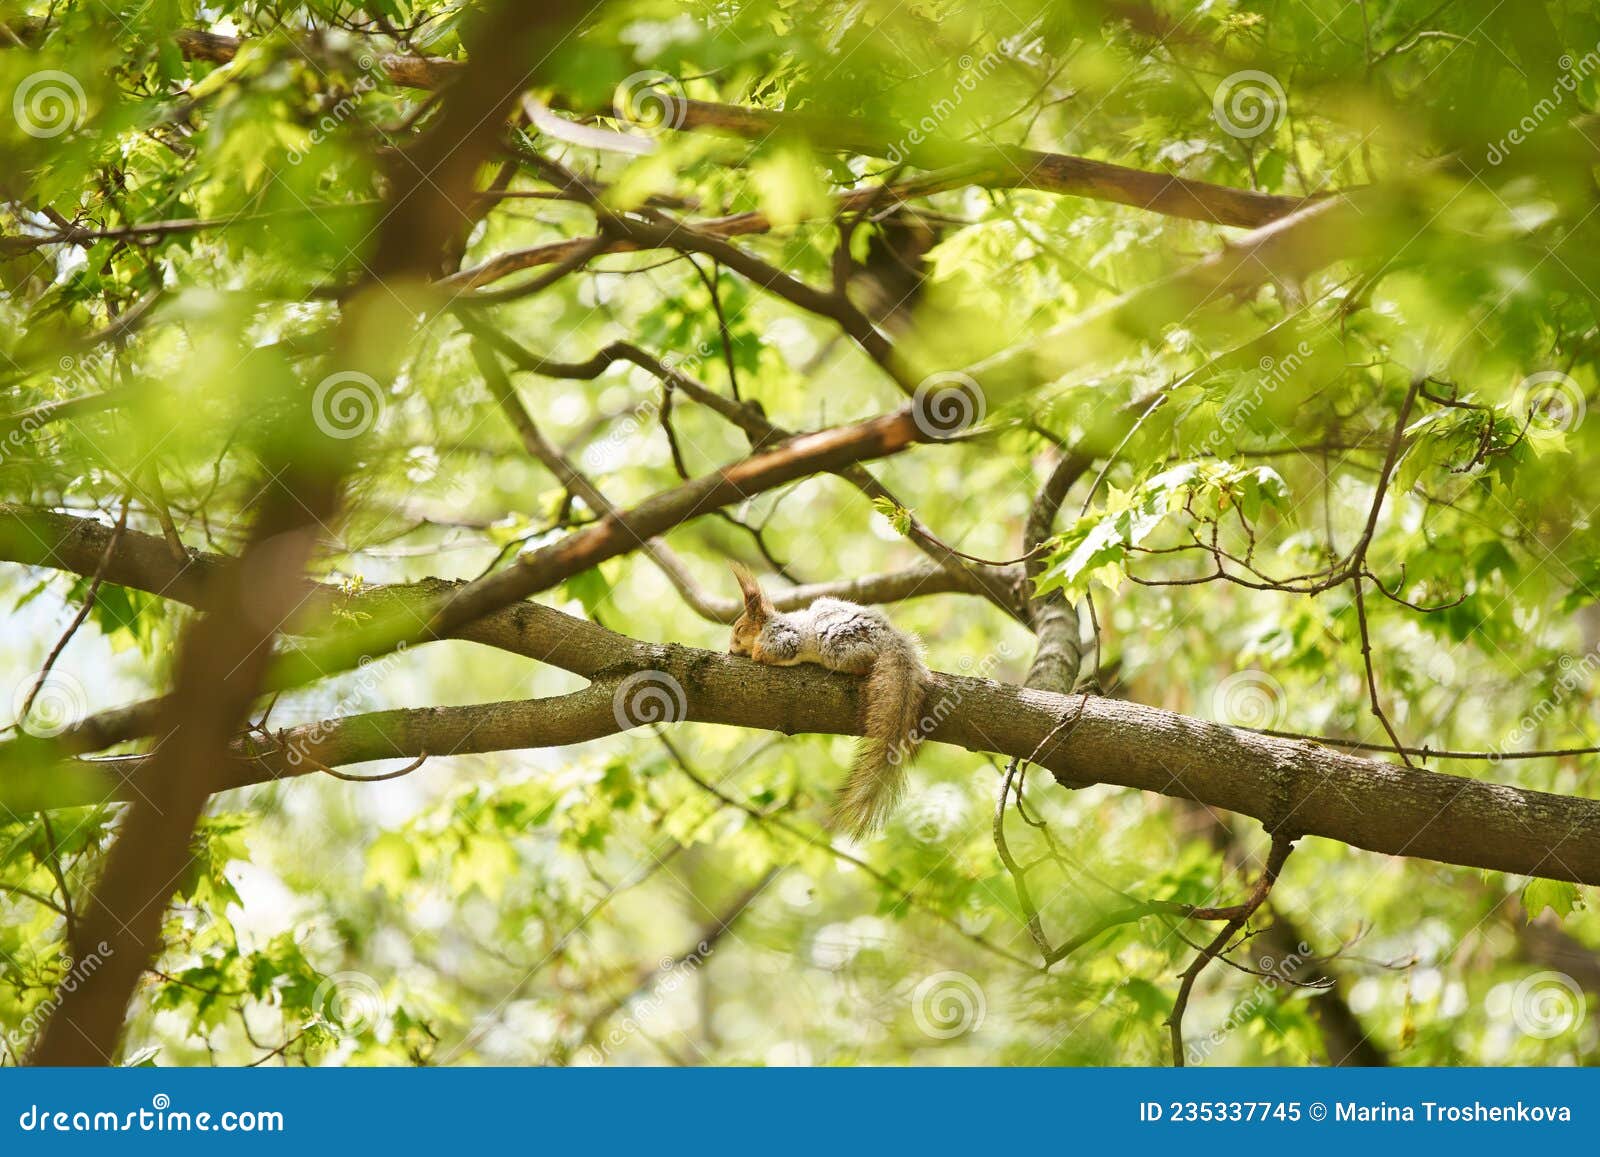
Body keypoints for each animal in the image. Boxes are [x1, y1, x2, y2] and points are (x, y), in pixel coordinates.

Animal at [727, 563, 930, 838]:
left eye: (739, 629)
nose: (730, 649)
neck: (770, 624)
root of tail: (890, 638)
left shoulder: (784, 638)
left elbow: (775, 651)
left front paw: (757, 653)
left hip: (836, 645)